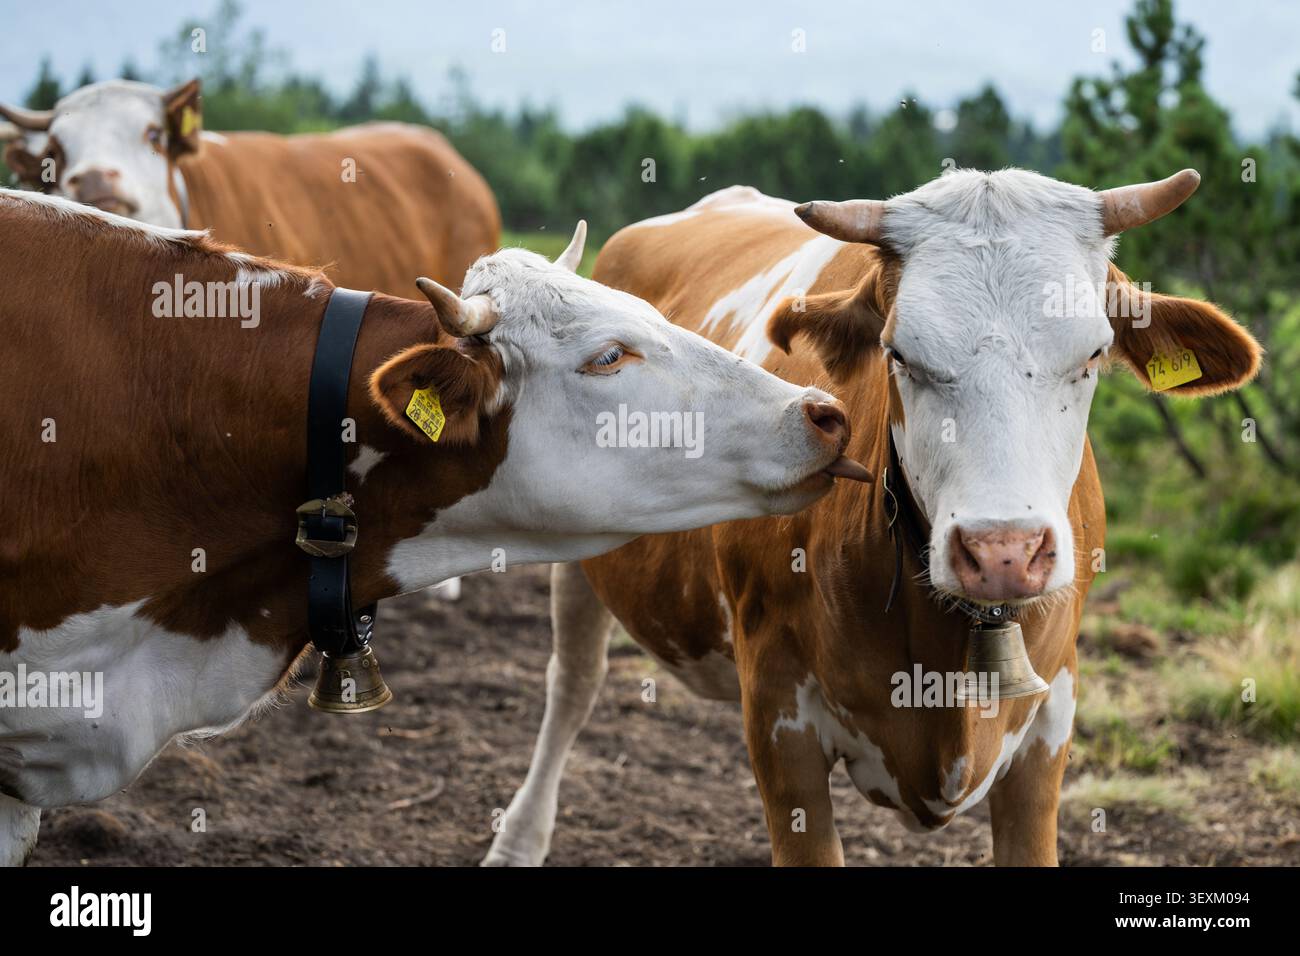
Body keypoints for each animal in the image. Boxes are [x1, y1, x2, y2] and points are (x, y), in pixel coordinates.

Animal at [485, 170, 1263, 867]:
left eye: (1094, 353)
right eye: (900, 354)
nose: (1003, 553)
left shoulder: (1049, 729)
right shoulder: (780, 720)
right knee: (573, 684)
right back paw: (518, 839)